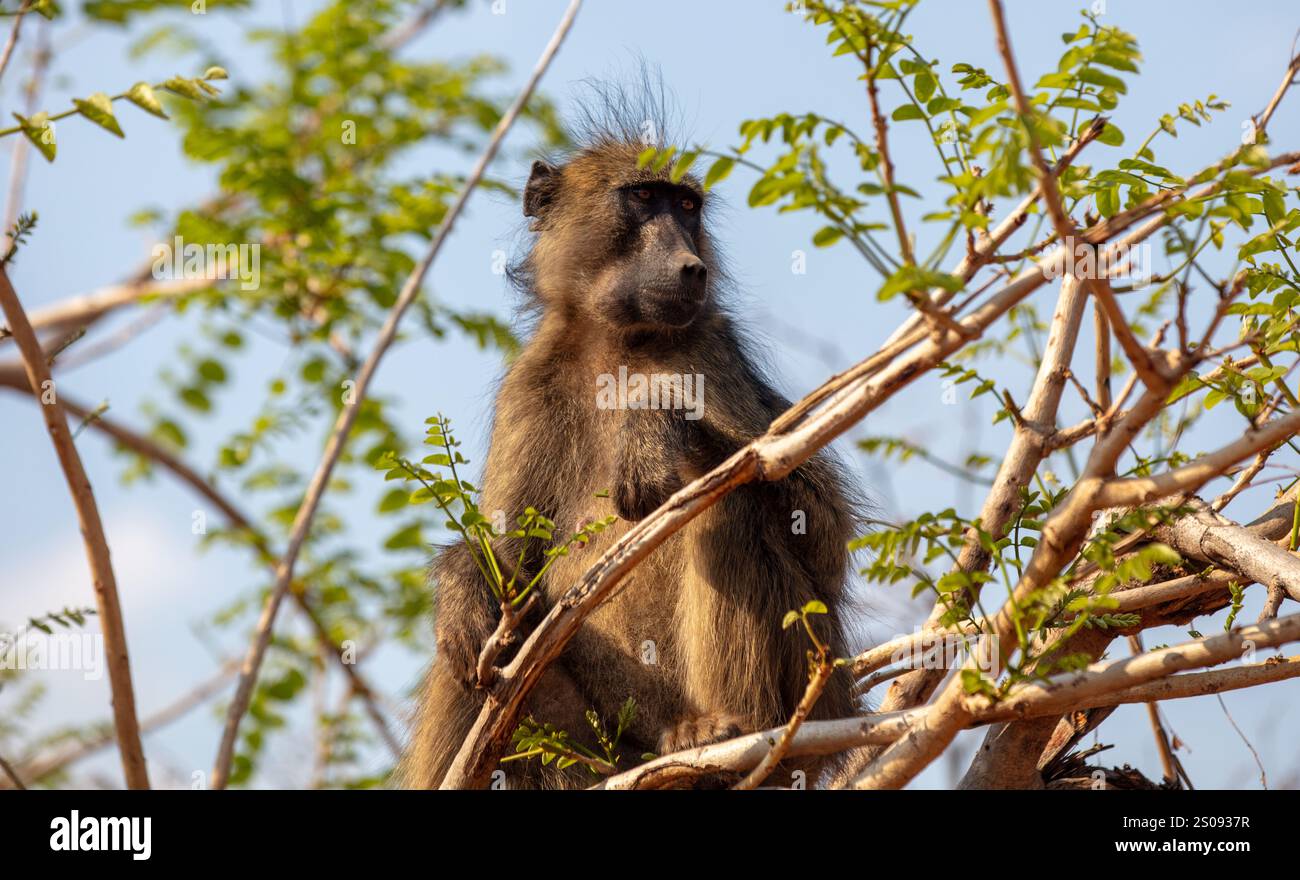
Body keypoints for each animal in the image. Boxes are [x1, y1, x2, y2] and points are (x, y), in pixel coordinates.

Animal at [399, 96, 864, 790]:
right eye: (643, 196)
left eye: (688, 205)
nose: (691, 268)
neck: (618, 344)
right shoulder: (528, 386)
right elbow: (508, 568)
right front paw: (462, 581)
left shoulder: (710, 352)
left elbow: (825, 537)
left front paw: (652, 427)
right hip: (585, 750)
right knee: (479, 666)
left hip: (810, 690)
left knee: (726, 506)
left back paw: (725, 733)